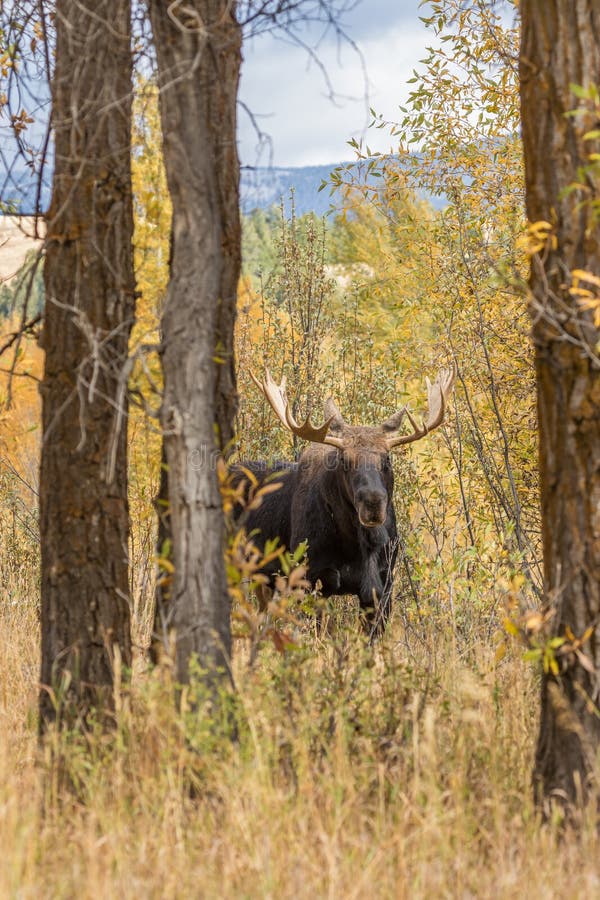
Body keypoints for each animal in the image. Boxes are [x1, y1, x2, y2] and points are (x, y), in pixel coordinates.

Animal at [235, 367, 455, 637]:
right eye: (344, 460)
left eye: (387, 459)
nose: (373, 503)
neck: (356, 545)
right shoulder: (308, 578)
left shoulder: (382, 585)